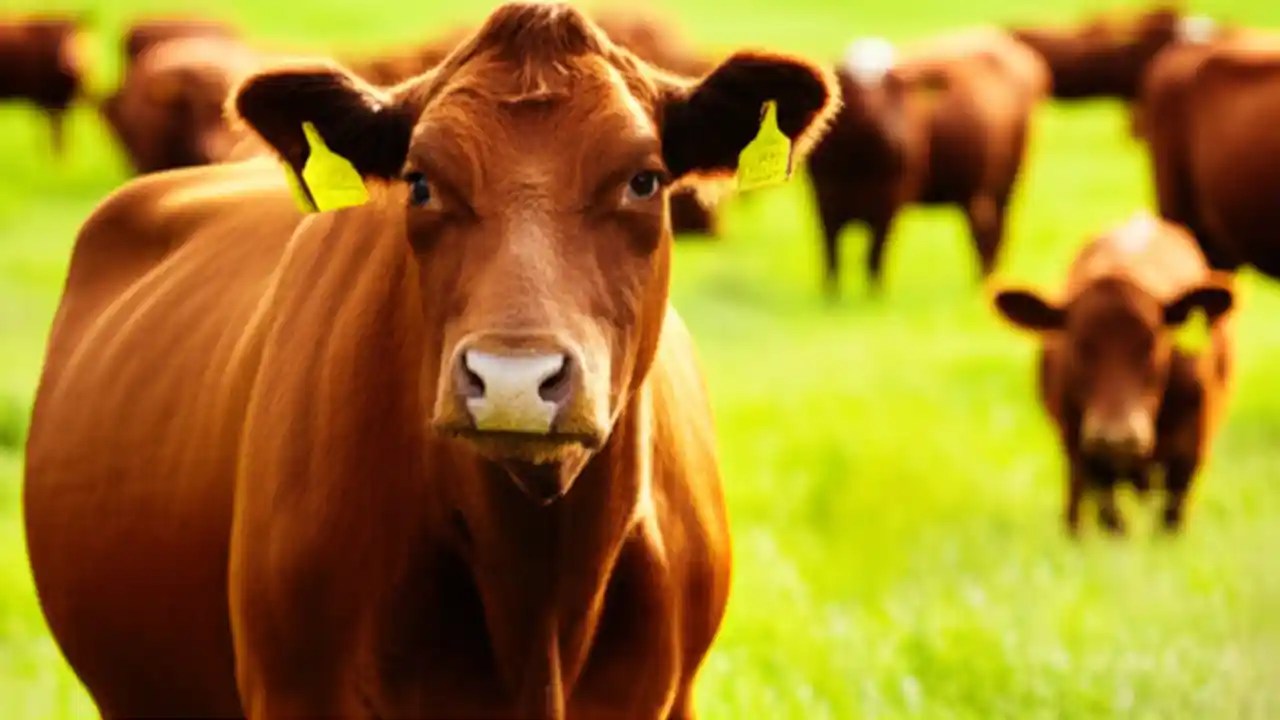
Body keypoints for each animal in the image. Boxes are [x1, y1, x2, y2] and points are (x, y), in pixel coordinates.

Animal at [807, 31, 1046, 296]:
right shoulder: (824, 199)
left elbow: (874, 258)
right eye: (849, 86)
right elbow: (831, 257)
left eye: (896, 86)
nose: (894, 135)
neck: (860, 164)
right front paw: (831, 296)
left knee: (991, 234)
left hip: (1005, 185)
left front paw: (873, 296)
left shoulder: (889, 204)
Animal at [993, 214, 1234, 535]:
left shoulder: (1190, 454)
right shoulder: (1085, 453)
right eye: (1079, 344)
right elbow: (1113, 523)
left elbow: (1170, 521)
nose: (1117, 436)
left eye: (1151, 343)